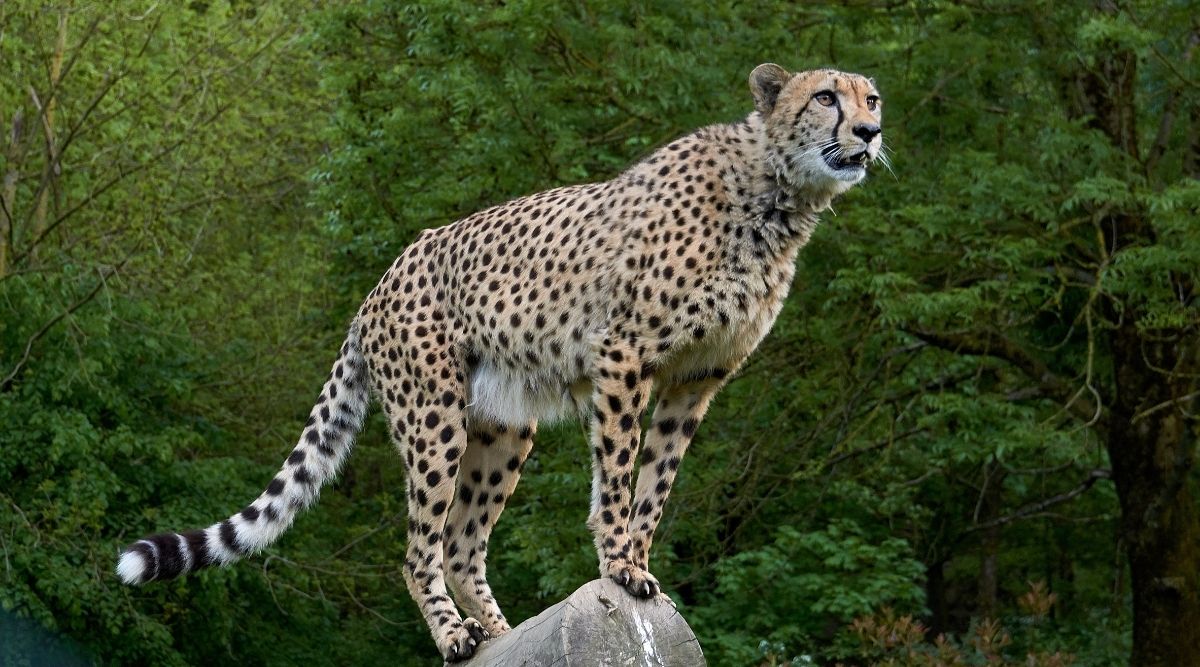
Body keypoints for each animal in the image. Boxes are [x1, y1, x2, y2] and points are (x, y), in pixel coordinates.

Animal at [117, 63, 883, 662]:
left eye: (871, 99)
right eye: (825, 97)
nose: (871, 134)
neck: (777, 194)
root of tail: (379, 282)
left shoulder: (696, 380)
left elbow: (656, 483)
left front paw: (637, 562)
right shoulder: (625, 354)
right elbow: (618, 473)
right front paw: (619, 565)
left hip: (504, 425)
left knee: (461, 542)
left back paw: (502, 631)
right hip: (434, 415)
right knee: (419, 548)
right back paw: (456, 636)